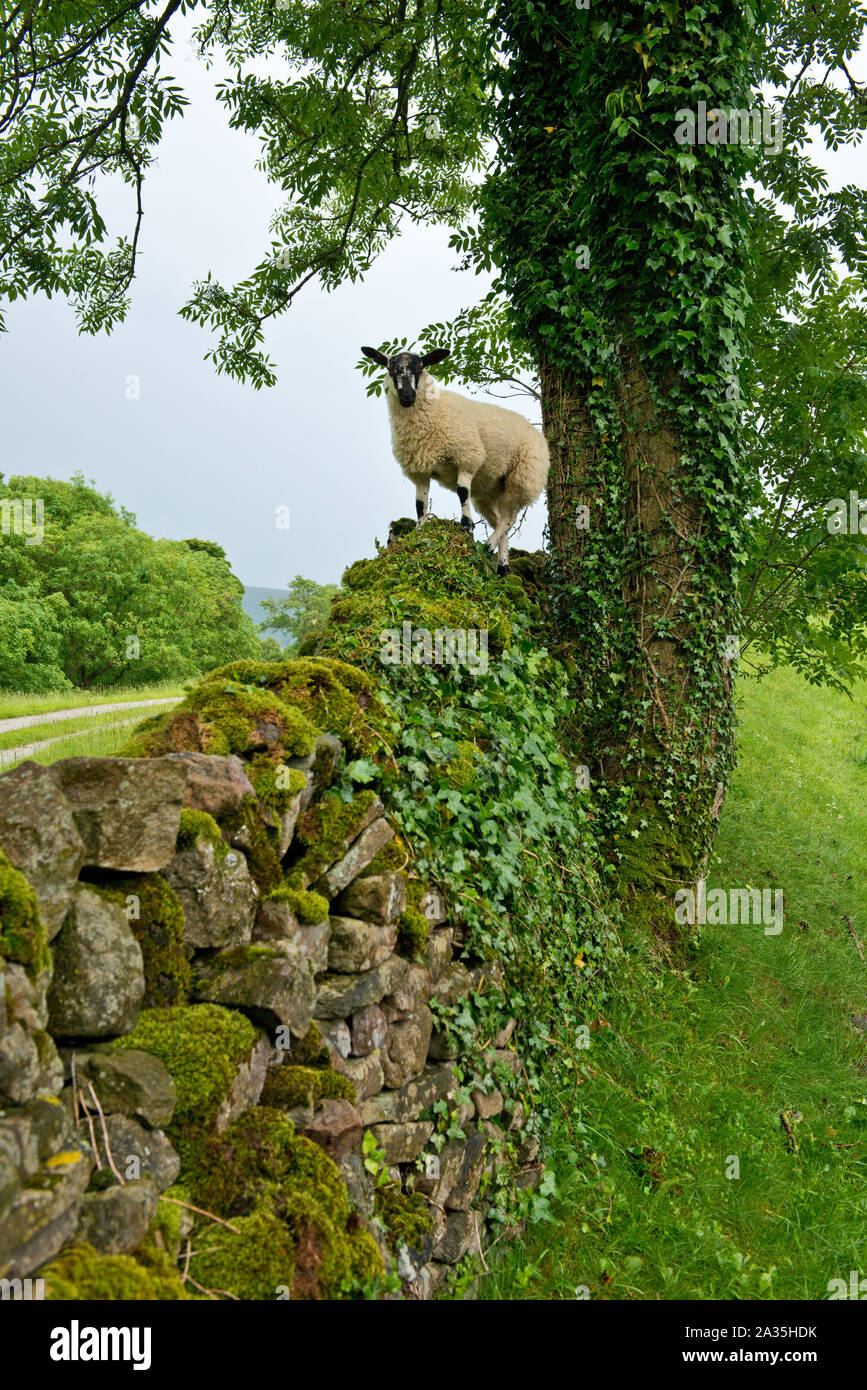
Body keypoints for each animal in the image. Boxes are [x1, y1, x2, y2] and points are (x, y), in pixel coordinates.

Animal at [361, 344, 550, 575]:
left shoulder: (468, 457)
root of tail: (539, 435)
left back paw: (488, 546)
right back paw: (502, 566)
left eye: (421, 366)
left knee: (508, 519)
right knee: (500, 520)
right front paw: (420, 531)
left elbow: (462, 493)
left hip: (523, 477)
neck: (432, 413)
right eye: (389, 368)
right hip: (489, 491)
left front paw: (467, 528)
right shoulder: (420, 471)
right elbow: (420, 504)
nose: (406, 395)